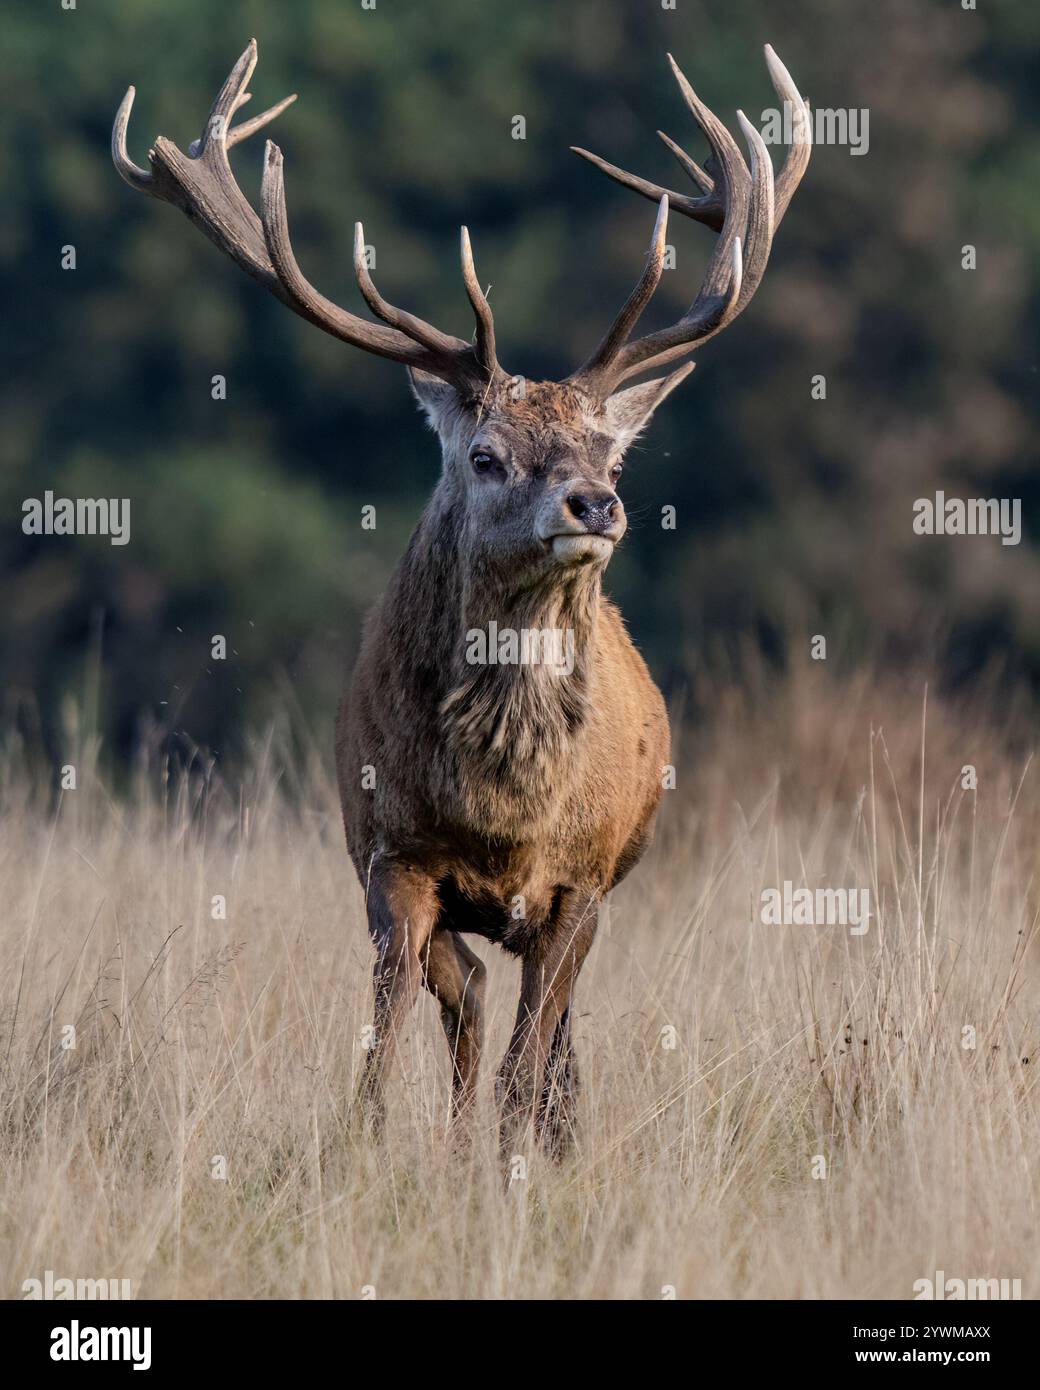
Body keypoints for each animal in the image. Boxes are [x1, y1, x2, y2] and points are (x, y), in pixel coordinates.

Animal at [113, 39, 810, 1158]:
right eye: (485, 455)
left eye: (607, 449)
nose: (595, 501)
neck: (503, 814)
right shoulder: (390, 856)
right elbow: (396, 1021)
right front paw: (370, 1147)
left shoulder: (580, 880)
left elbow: (528, 1055)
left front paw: (512, 1160)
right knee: (473, 1000)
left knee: (546, 1030)